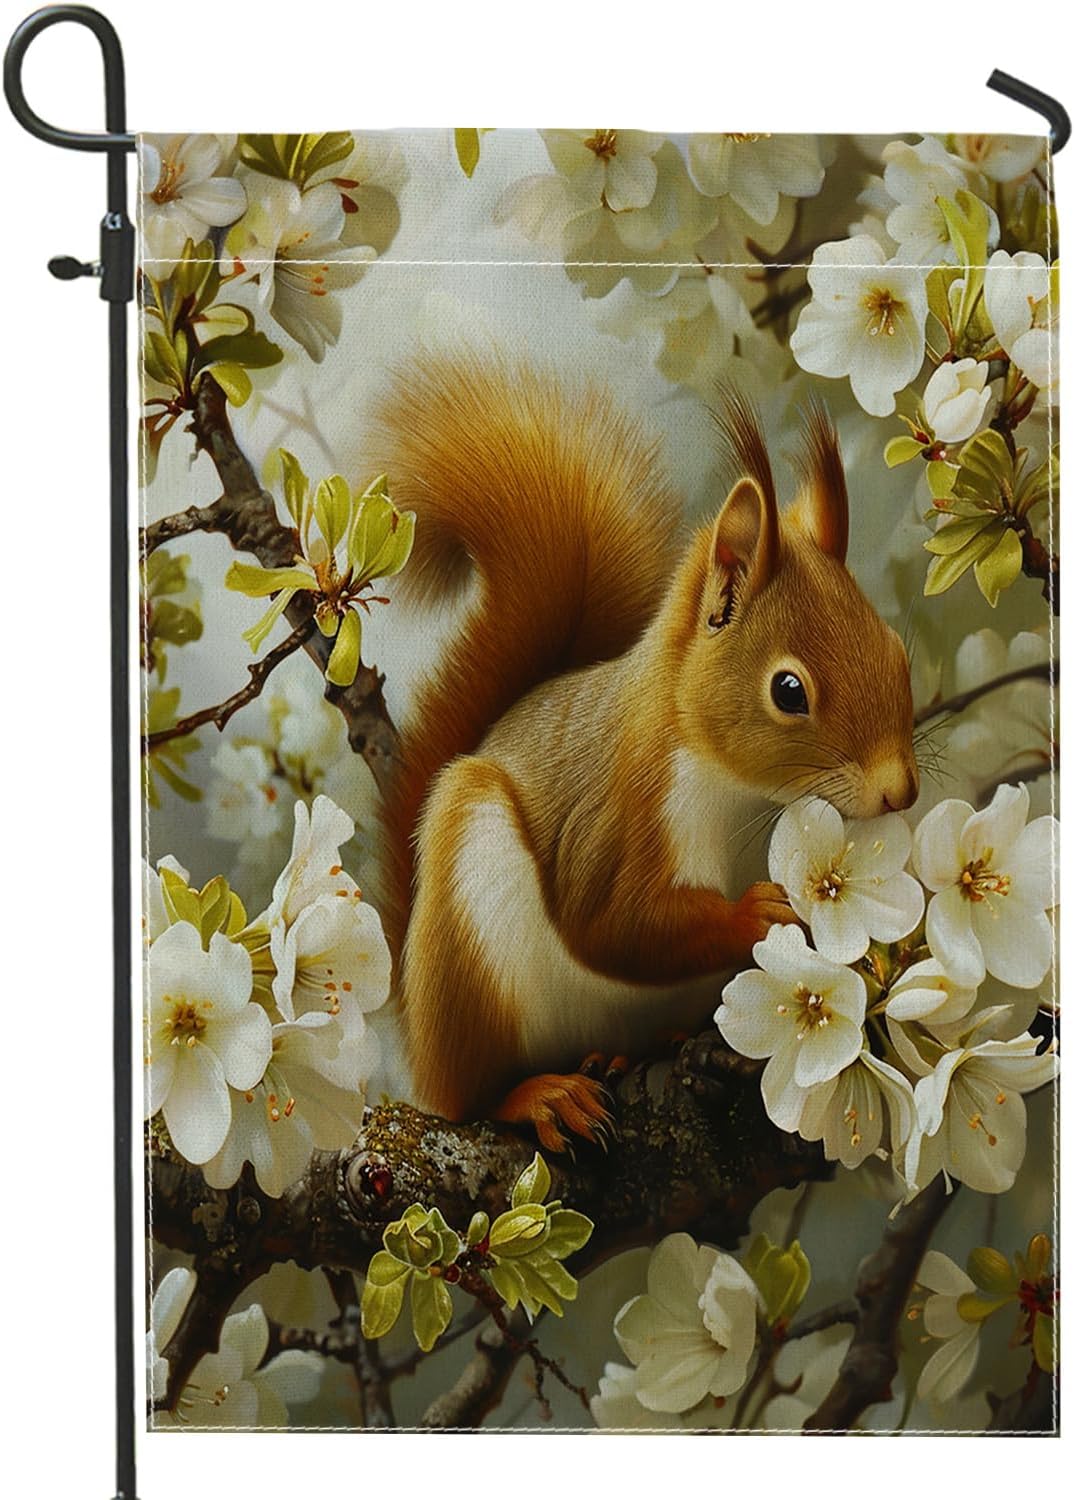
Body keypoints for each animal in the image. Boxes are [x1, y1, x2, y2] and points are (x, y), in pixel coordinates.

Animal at [369, 356, 919, 1151]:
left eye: (897, 654)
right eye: (788, 690)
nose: (899, 791)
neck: (749, 799)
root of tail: (416, 1023)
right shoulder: (623, 811)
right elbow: (611, 923)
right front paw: (751, 916)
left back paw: (640, 1049)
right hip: (470, 955)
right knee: (473, 1095)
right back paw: (540, 1096)